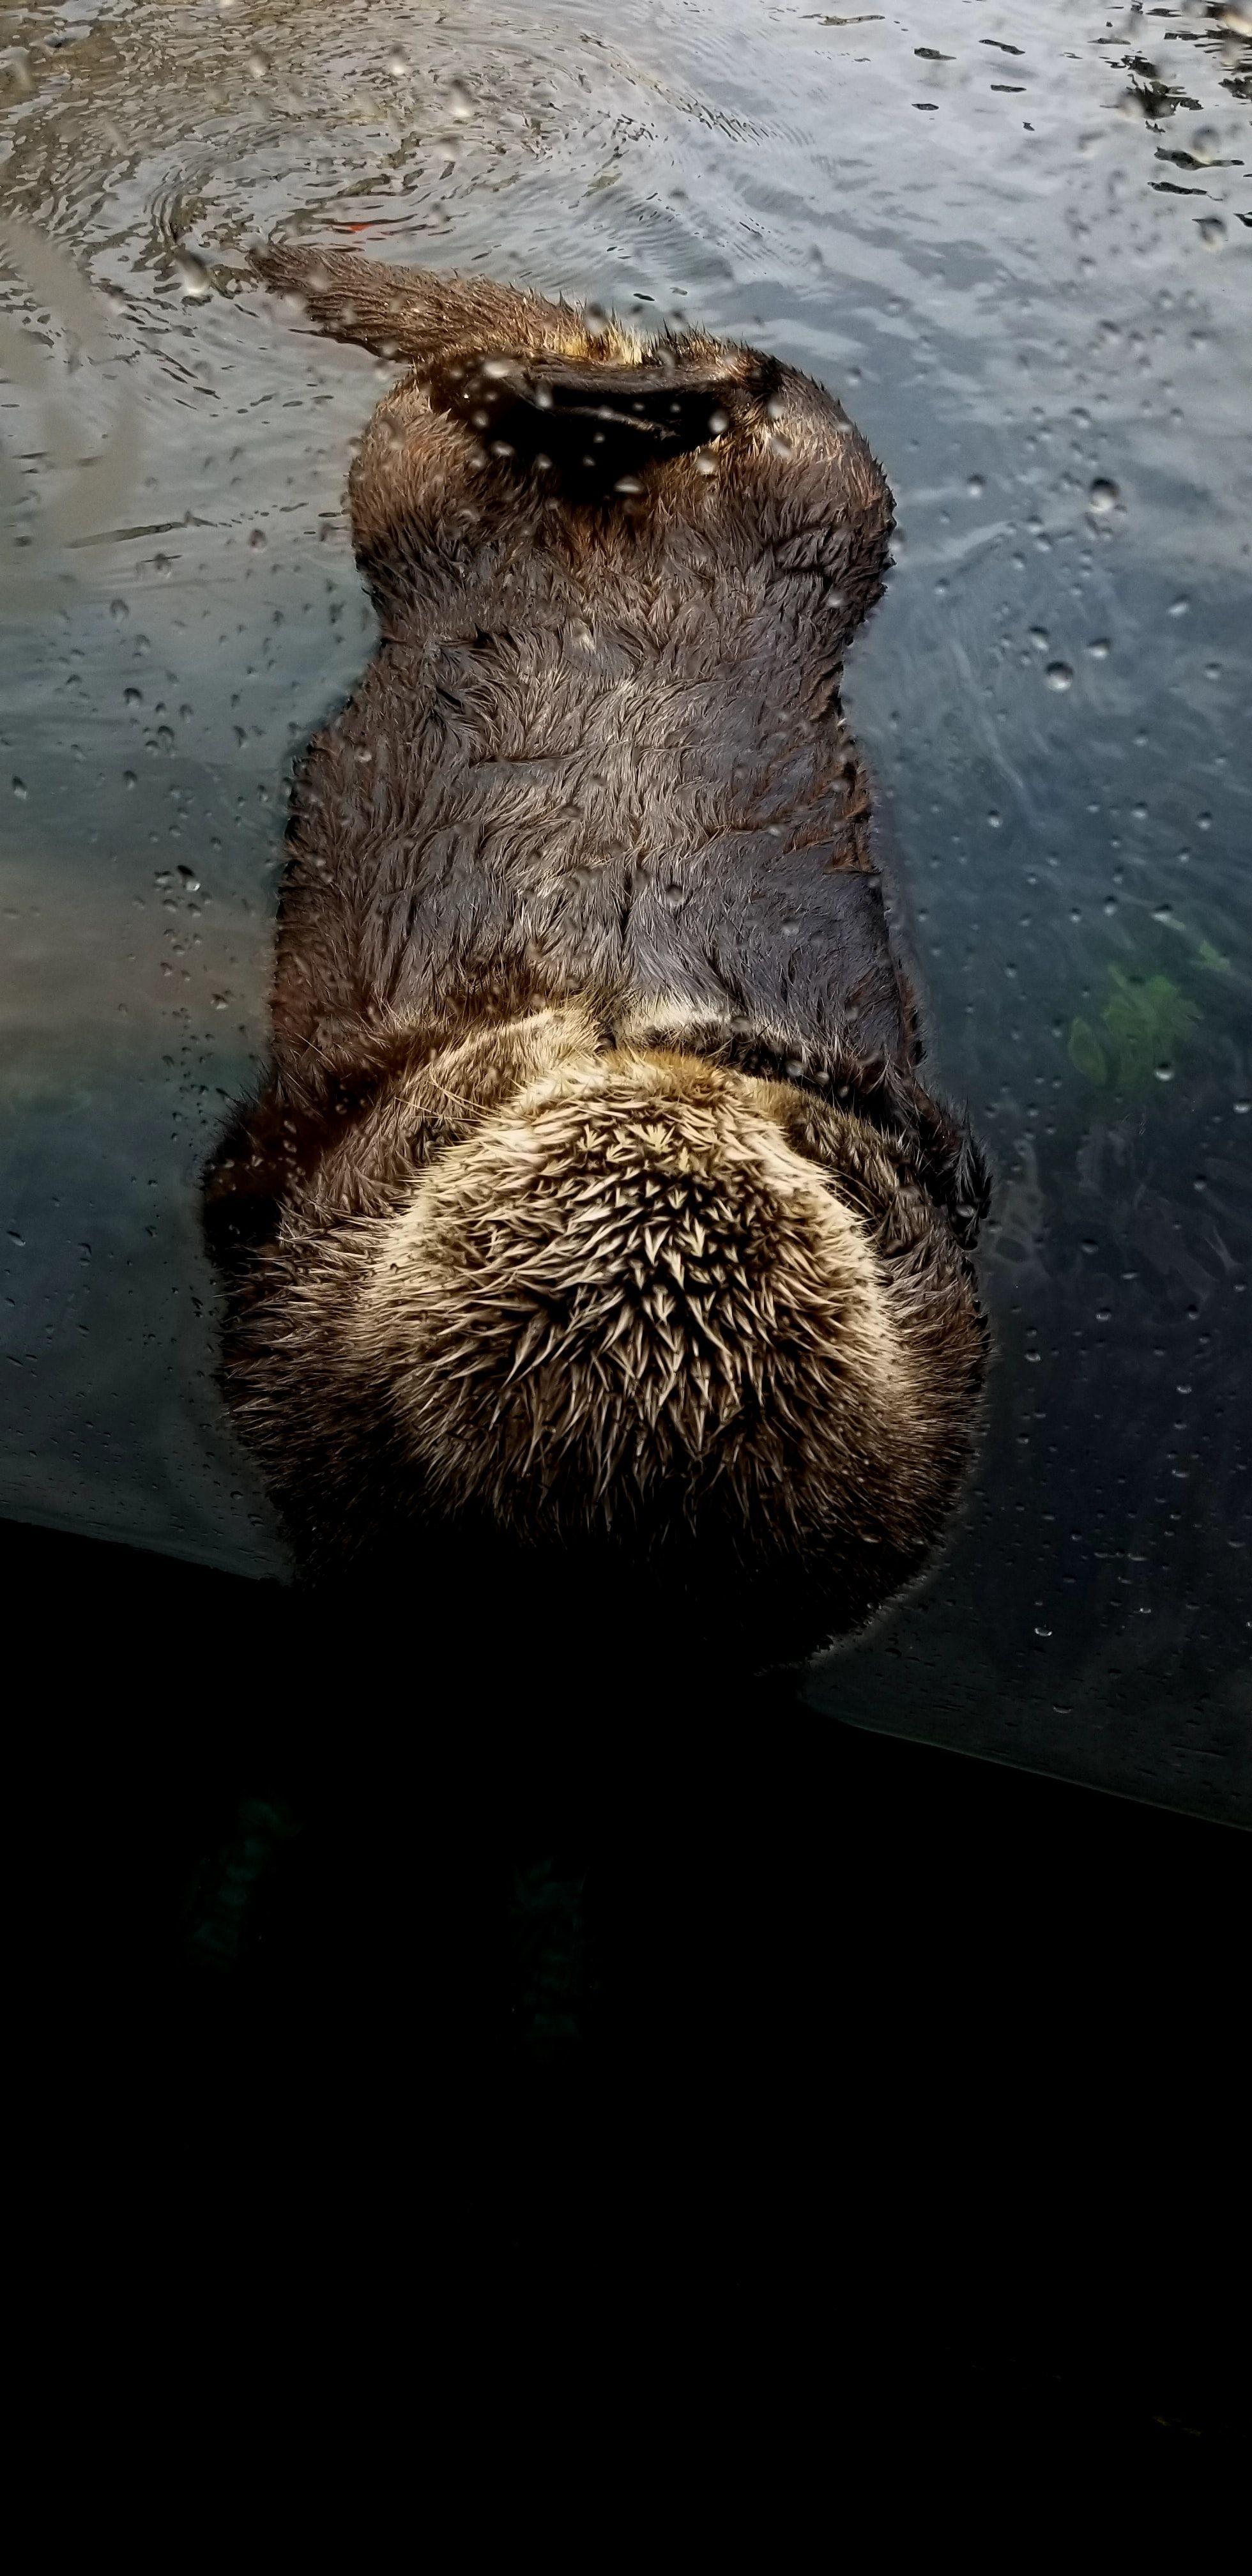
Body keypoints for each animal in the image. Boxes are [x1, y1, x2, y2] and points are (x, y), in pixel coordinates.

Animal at [204, 245, 990, 1673]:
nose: (676, 1064)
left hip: (677, 490)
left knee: (657, 400)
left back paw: (609, 396)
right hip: (751, 475)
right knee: (716, 383)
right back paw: (623, 396)